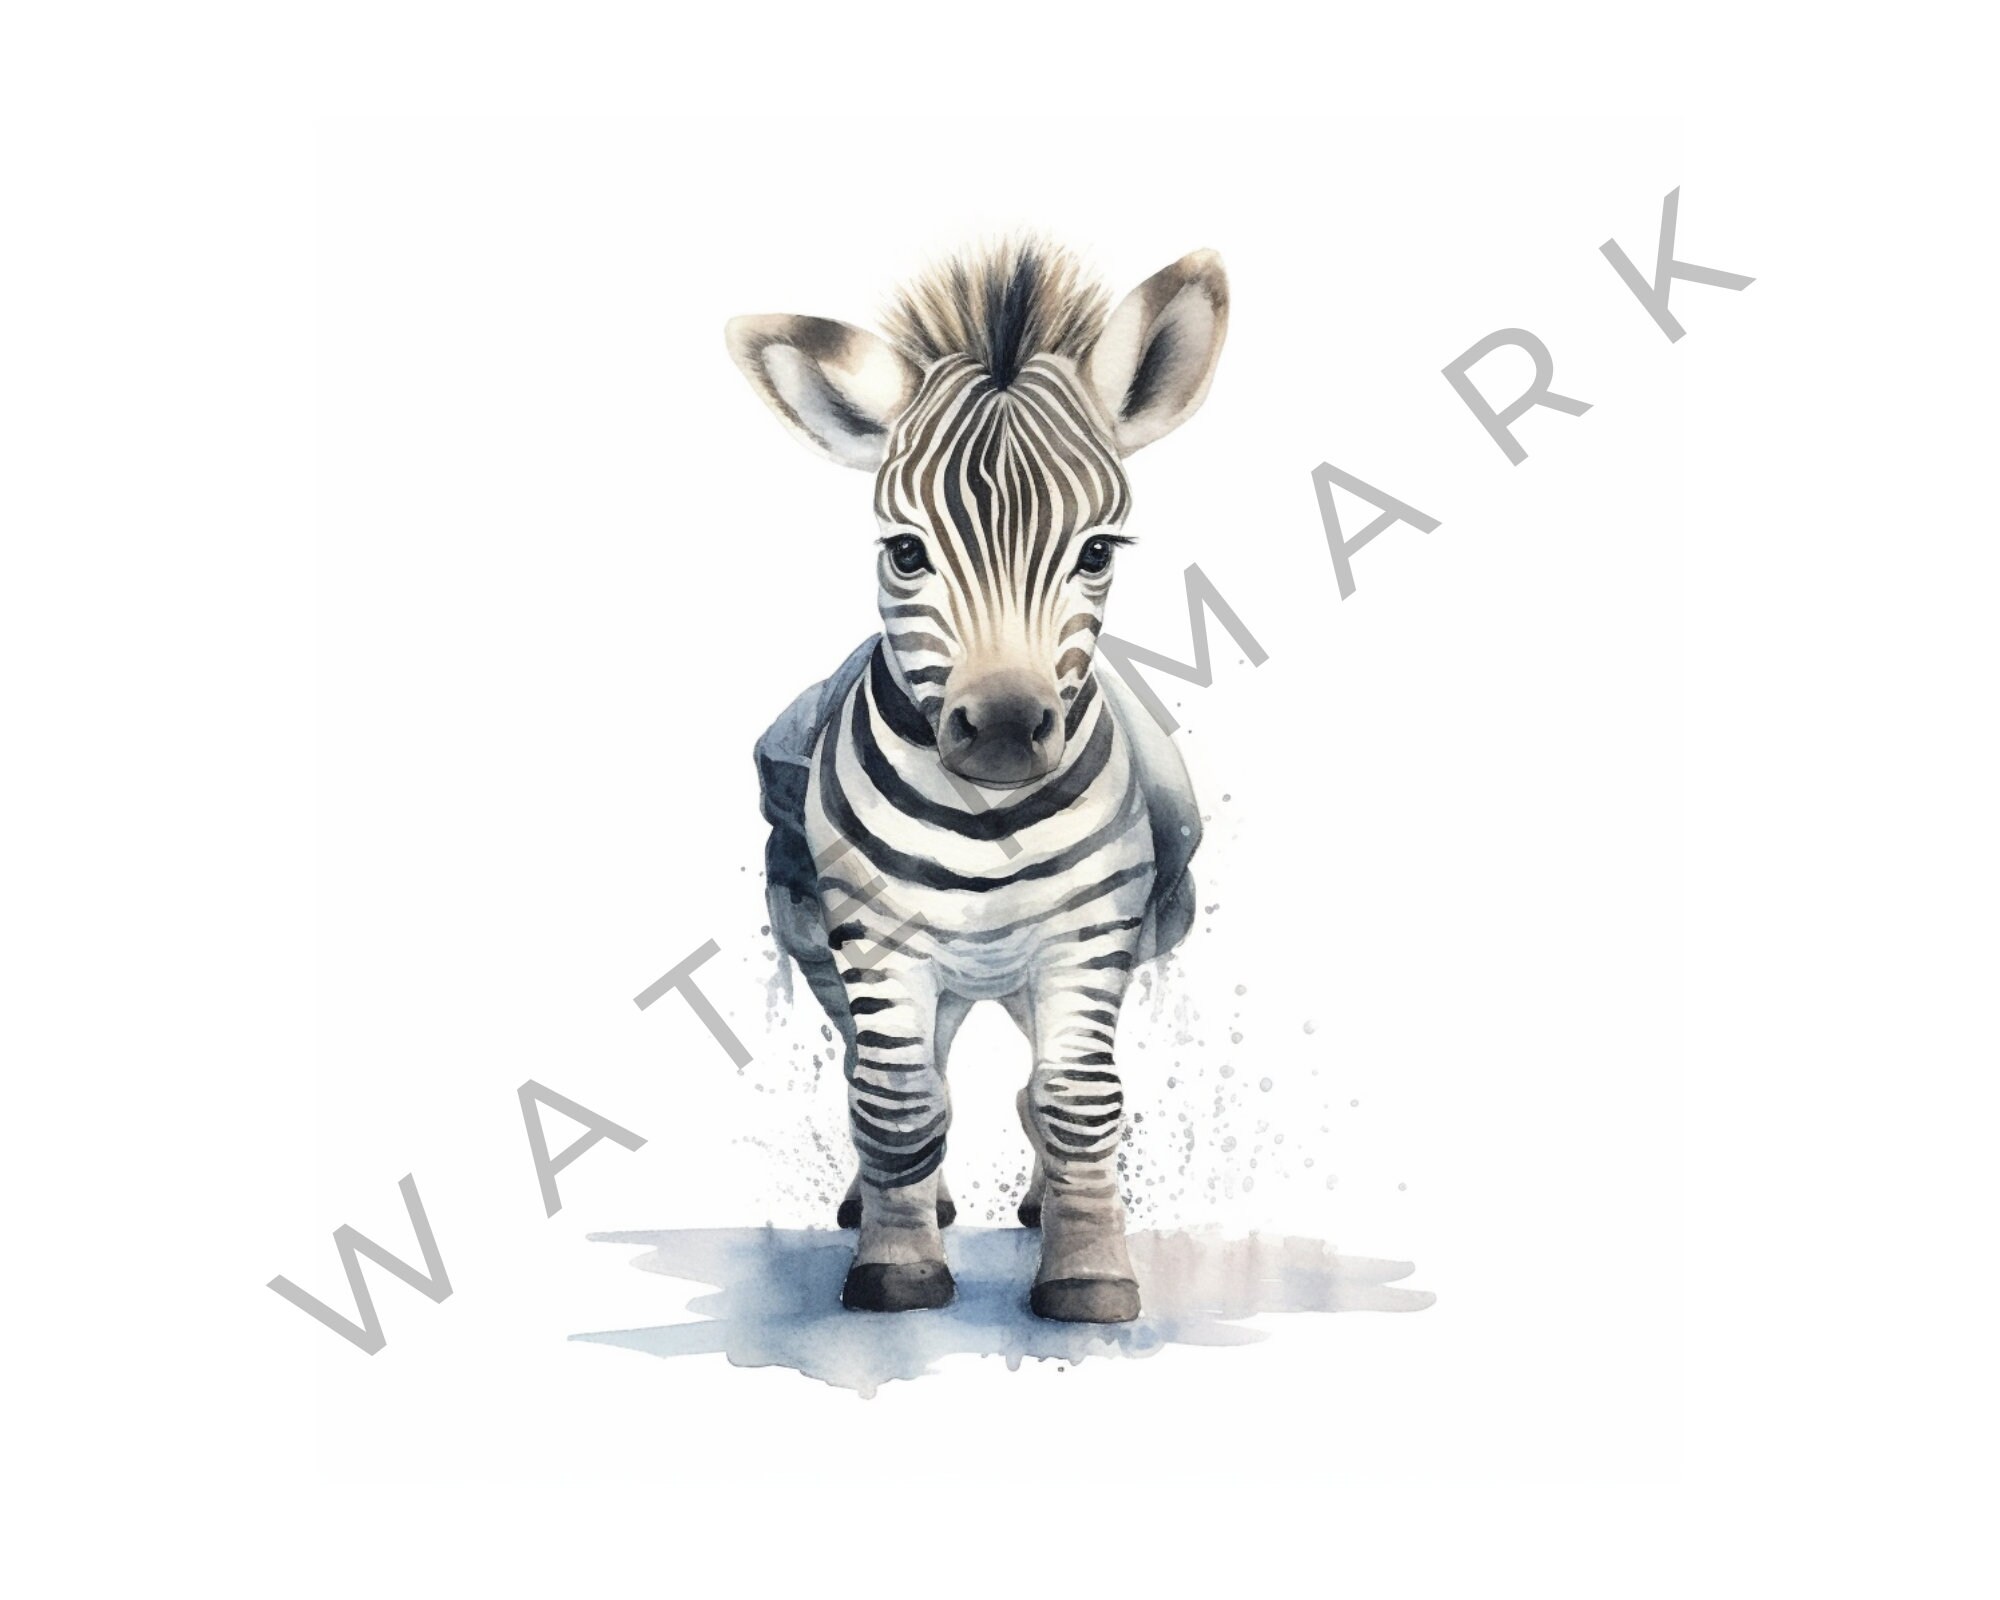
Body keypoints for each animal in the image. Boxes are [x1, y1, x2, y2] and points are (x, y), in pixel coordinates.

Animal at [727, 240, 1228, 1323]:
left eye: (1097, 552)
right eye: (904, 552)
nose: (1001, 731)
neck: (987, 824)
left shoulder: (1088, 936)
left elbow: (1078, 1101)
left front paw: (1089, 1274)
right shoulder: (875, 942)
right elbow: (895, 1100)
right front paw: (895, 1266)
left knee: (1035, 1086)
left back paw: (1039, 1206)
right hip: (841, 955)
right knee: (891, 1079)